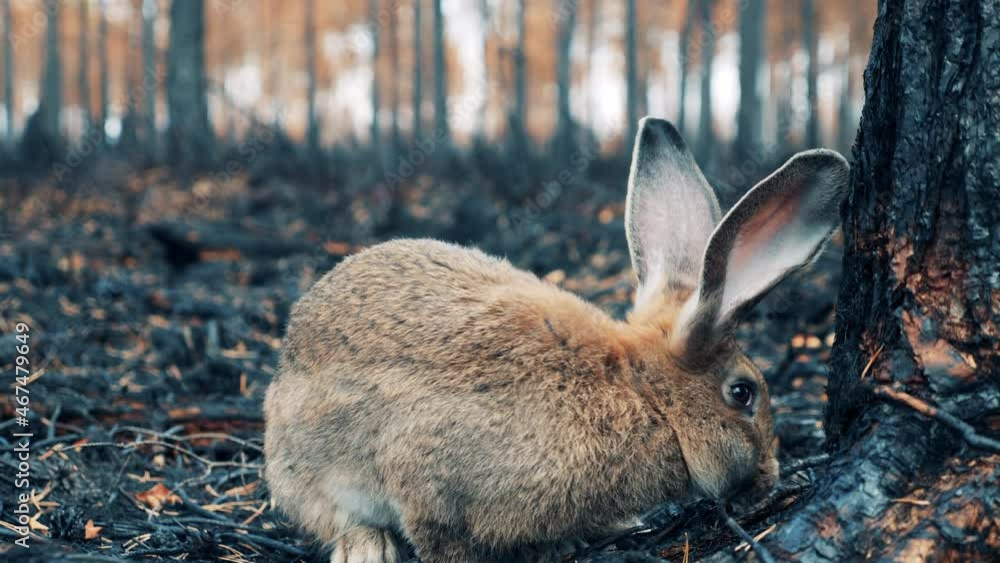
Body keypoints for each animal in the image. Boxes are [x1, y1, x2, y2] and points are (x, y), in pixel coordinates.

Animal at [264, 117, 849, 563]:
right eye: (743, 394)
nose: (770, 478)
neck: (644, 394)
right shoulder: (431, 479)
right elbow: (440, 538)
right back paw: (367, 547)